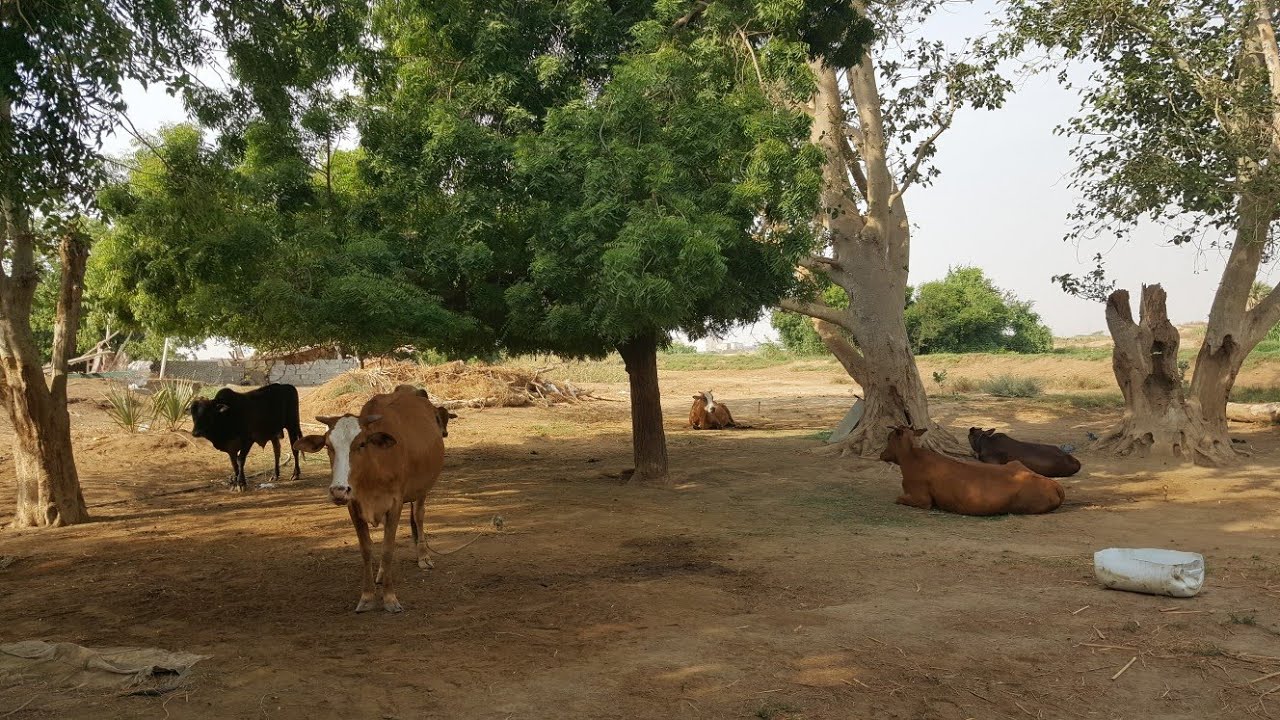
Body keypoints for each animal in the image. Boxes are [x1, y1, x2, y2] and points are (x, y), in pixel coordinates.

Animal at [296, 384, 445, 613]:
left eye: (362, 444)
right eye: (328, 446)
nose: (338, 490)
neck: (374, 468)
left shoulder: (395, 504)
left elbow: (388, 549)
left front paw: (390, 598)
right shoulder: (354, 506)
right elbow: (367, 550)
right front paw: (367, 597)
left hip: (422, 490)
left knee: (418, 516)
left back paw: (423, 556)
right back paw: (382, 573)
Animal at [880, 426, 1064, 516]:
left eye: (889, 437)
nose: (882, 454)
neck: (911, 458)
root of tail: (1054, 484)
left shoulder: (921, 499)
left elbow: (898, 498)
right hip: (1015, 463)